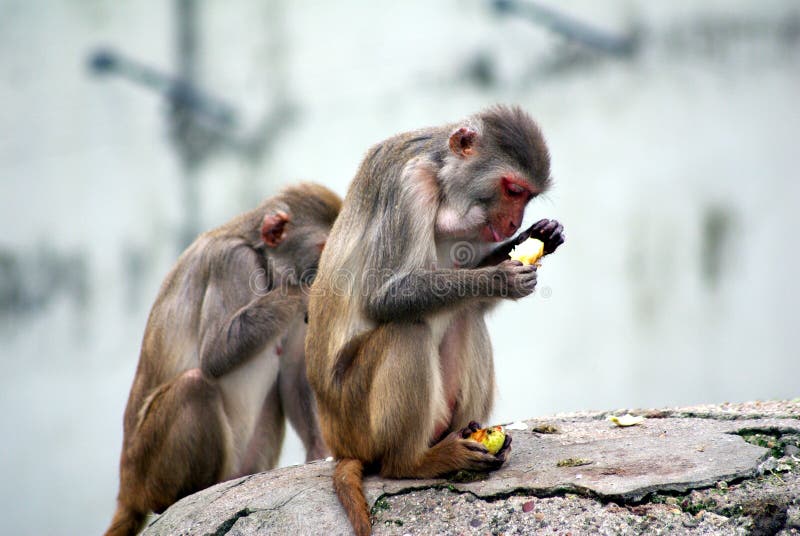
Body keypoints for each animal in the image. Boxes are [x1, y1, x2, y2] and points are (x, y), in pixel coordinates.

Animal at [105, 183, 342, 536]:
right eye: (324, 247)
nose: (332, 272)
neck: (260, 254)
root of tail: (127, 486)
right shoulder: (232, 262)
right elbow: (214, 354)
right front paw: (308, 290)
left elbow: (293, 377)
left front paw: (321, 454)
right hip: (146, 465)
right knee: (194, 386)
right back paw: (184, 495)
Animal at [305, 106, 565, 536]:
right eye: (513, 190)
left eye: (527, 196)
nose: (514, 223)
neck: (441, 177)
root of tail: (338, 442)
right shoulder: (410, 187)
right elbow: (384, 296)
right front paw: (501, 278)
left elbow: (471, 303)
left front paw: (540, 236)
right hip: (354, 415)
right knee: (406, 329)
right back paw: (413, 462)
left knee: (466, 314)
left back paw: (469, 435)